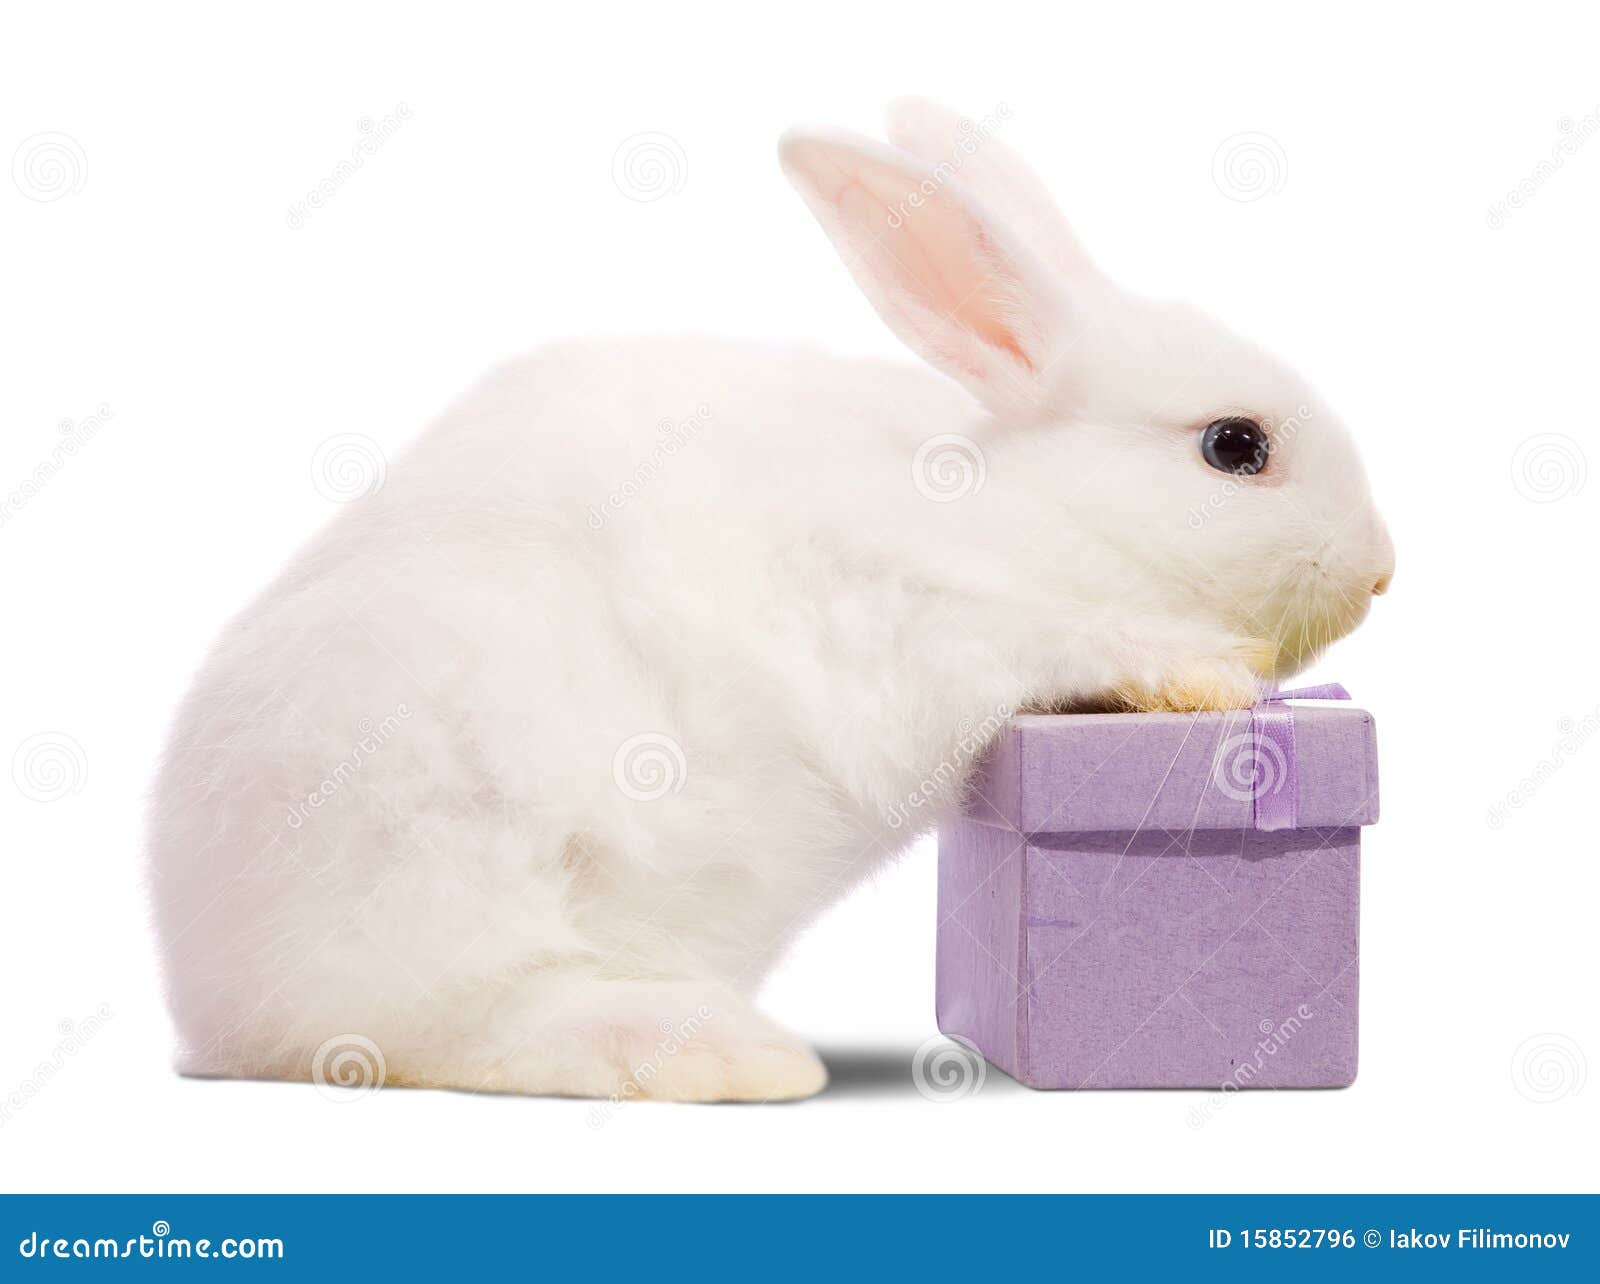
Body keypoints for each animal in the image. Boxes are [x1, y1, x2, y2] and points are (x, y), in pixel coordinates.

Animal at [147, 99, 1394, 1104]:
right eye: (1234, 446)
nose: (1382, 568)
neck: (1041, 506)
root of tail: (209, 1001)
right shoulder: (948, 606)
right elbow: (1092, 640)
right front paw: (1208, 678)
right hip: (449, 837)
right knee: (451, 1019)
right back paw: (722, 1056)